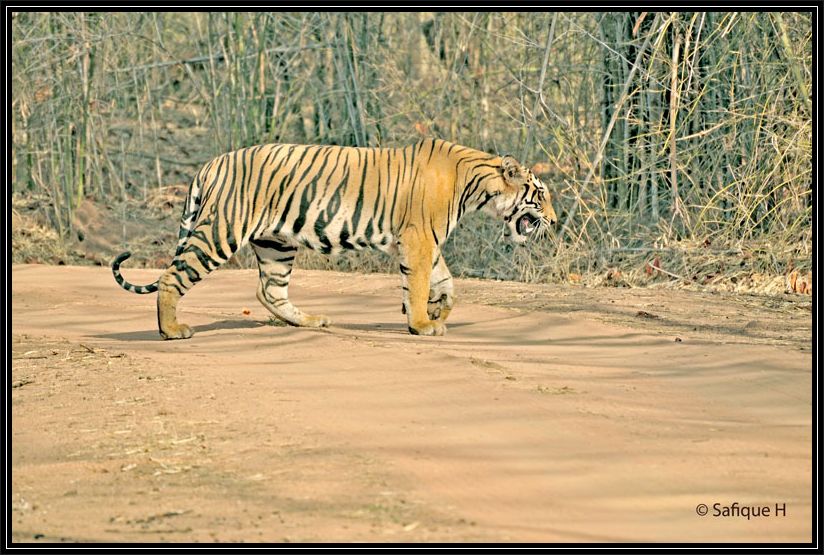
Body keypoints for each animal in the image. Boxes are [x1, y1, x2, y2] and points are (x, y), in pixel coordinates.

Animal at [112, 138, 557, 339]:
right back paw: (172, 330)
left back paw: (311, 321)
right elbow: (418, 283)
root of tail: (211, 163)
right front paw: (420, 323)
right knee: (172, 276)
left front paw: (439, 311)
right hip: (222, 230)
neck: (476, 185)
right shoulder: (418, 239)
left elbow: (445, 282)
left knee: (269, 291)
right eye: (541, 194)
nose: (555, 220)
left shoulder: (423, 243)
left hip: (276, 243)